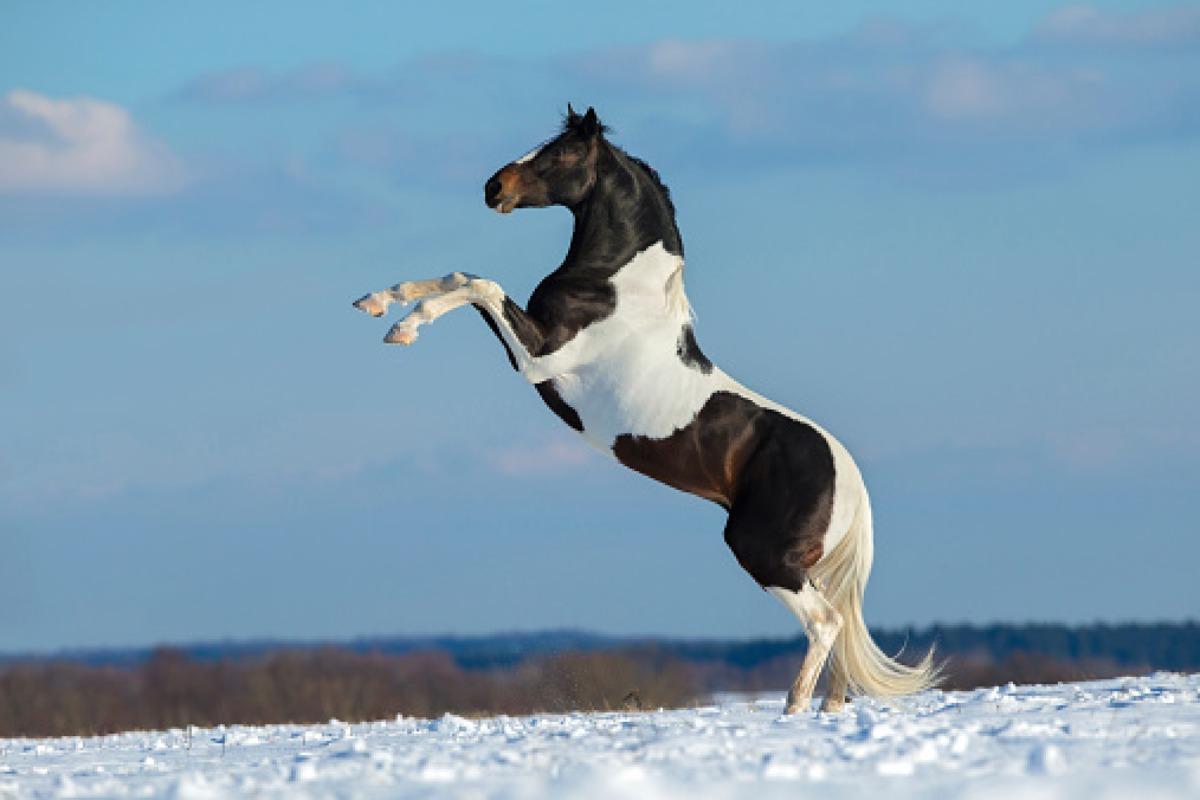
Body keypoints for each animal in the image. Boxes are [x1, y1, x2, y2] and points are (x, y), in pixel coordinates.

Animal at [353, 105, 939, 713]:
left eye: (564, 152)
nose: (494, 188)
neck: (615, 288)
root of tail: (849, 479)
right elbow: (460, 275)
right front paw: (377, 302)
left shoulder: (539, 358)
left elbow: (479, 285)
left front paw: (403, 328)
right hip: (804, 564)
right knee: (840, 638)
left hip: (762, 553)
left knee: (824, 624)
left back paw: (793, 710)